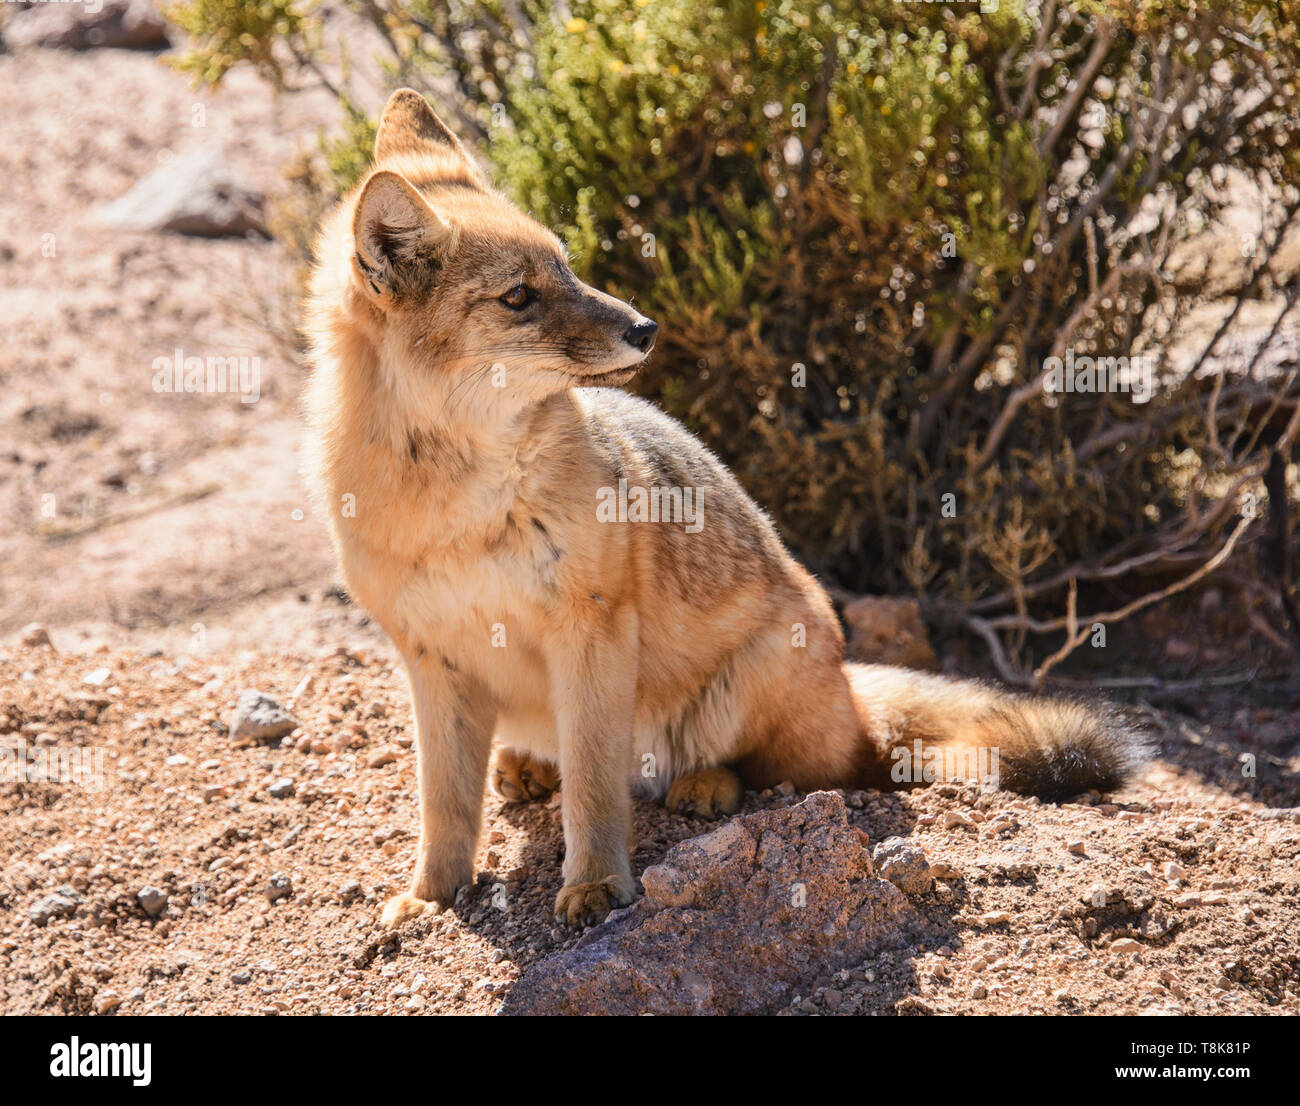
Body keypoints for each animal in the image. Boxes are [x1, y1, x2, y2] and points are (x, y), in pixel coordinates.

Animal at [304, 89, 1138, 929]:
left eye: (568, 266)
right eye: (519, 298)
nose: (646, 328)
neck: (456, 514)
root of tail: (847, 684)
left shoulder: (591, 633)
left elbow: (594, 787)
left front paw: (594, 883)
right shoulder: (430, 658)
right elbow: (444, 803)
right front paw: (432, 897)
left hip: (748, 684)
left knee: (772, 771)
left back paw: (703, 784)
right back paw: (528, 765)